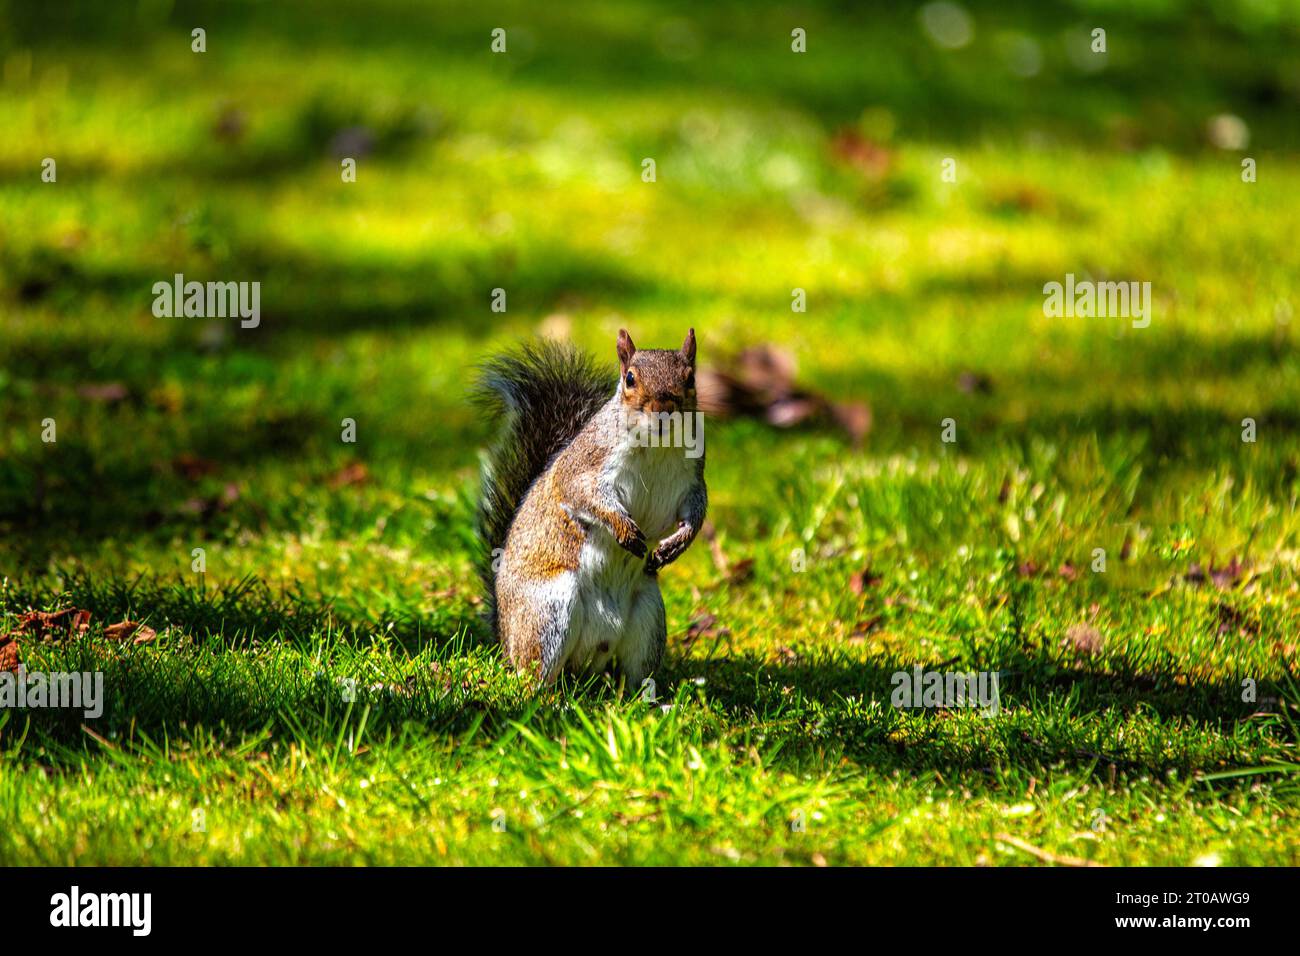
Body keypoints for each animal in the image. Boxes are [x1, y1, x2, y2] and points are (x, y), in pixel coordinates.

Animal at [474, 328, 707, 689]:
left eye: (690, 378)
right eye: (629, 378)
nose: (663, 410)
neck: (656, 445)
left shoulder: (693, 481)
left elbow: (696, 513)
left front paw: (676, 544)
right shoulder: (585, 465)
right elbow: (582, 493)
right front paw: (623, 529)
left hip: (649, 615)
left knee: (637, 673)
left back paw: (645, 697)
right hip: (549, 611)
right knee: (535, 674)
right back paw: (546, 695)